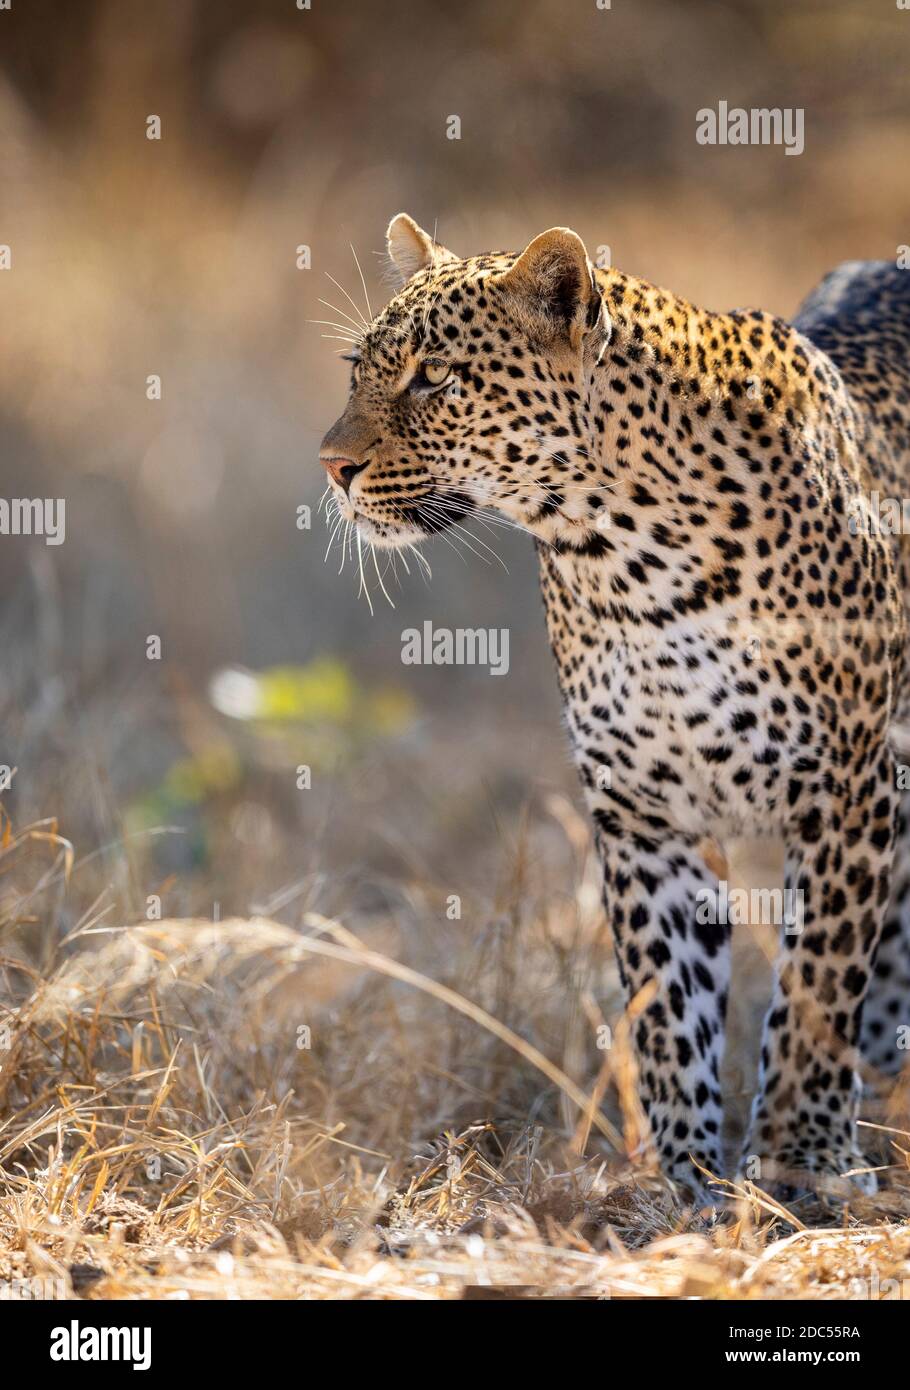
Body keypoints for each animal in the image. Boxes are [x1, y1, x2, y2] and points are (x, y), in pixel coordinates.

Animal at [319, 212, 910, 1204]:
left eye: (434, 376)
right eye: (357, 369)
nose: (332, 466)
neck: (626, 558)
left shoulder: (847, 791)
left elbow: (815, 993)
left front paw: (798, 1168)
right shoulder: (643, 812)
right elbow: (669, 1008)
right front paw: (686, 1184)